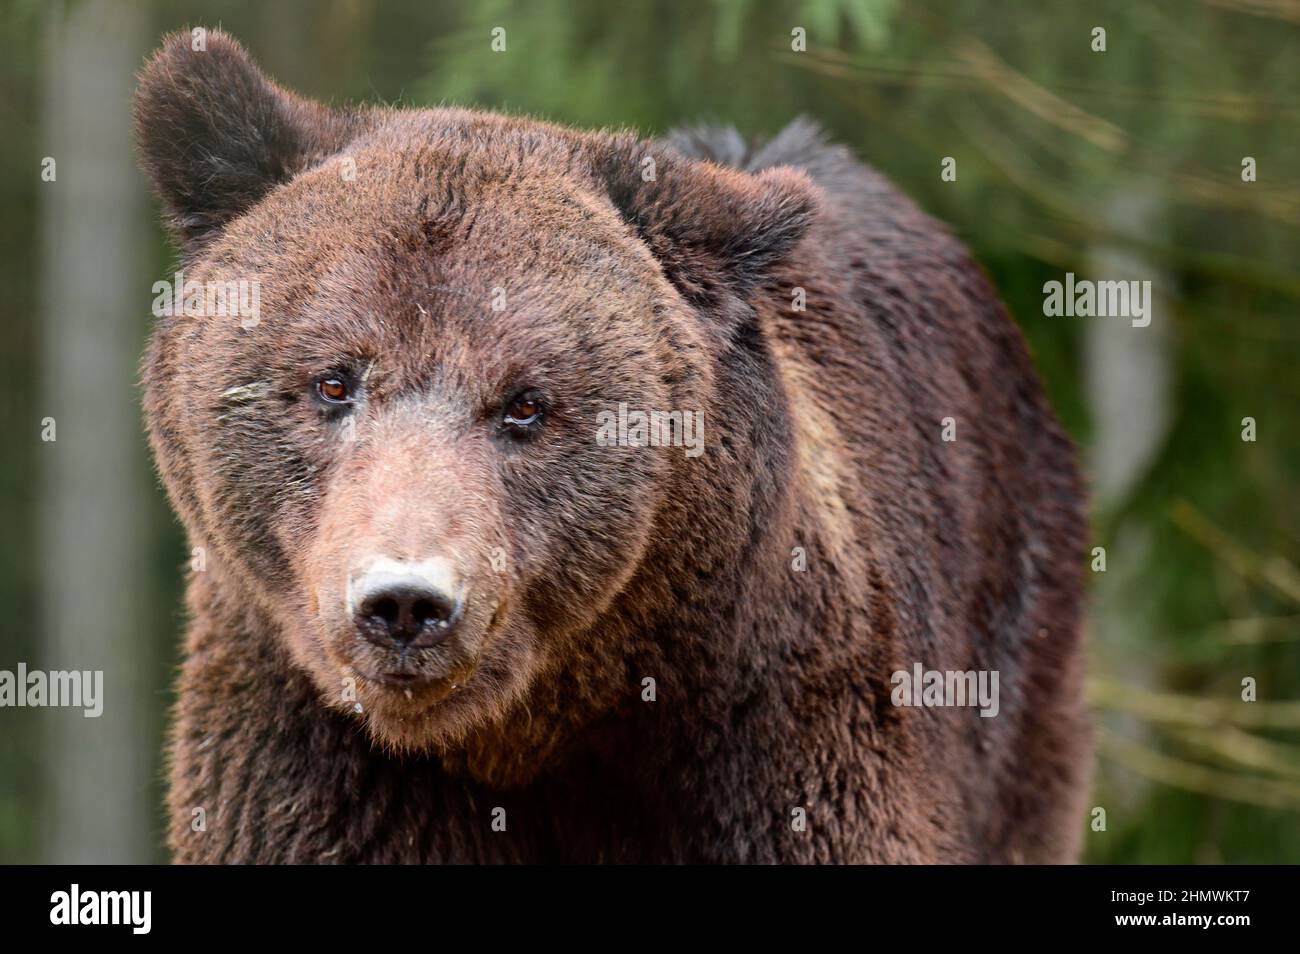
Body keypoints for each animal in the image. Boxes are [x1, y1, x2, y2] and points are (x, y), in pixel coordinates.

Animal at [134, 29, 1089, 864]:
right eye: (334, 381)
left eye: (526, 404)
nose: (405, 601)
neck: (528, 734)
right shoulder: (306, 751)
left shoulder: (782, 732)